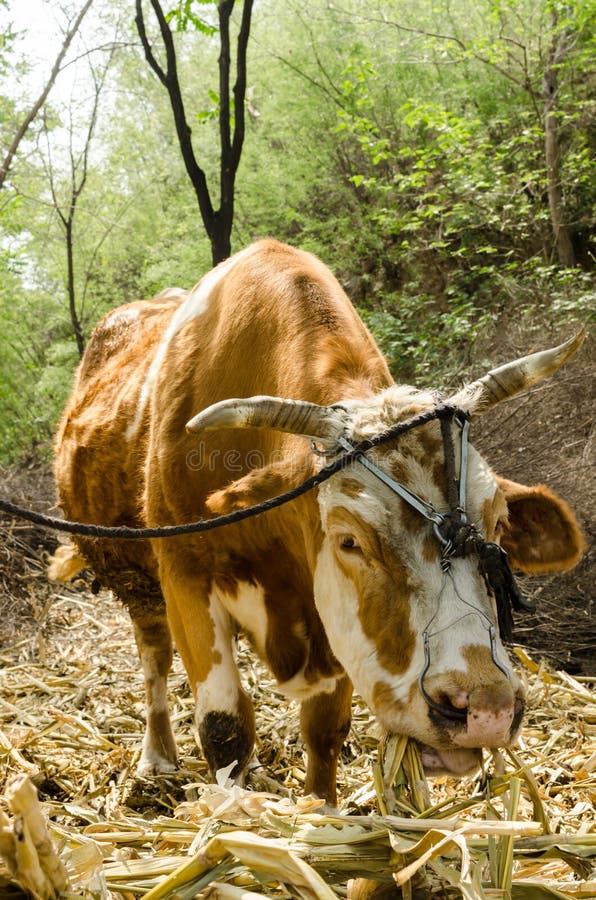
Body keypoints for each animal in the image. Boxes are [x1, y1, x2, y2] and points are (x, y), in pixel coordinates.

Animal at [51, 239, 585, 806]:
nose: (485, 709)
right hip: (137, 583)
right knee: (153, 656)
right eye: (349, 541)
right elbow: (224, 725)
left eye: (498, 524)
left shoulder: (331, 621)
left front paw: (320, 805)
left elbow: (325, 729)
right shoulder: (184, 574)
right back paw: (157, 757)